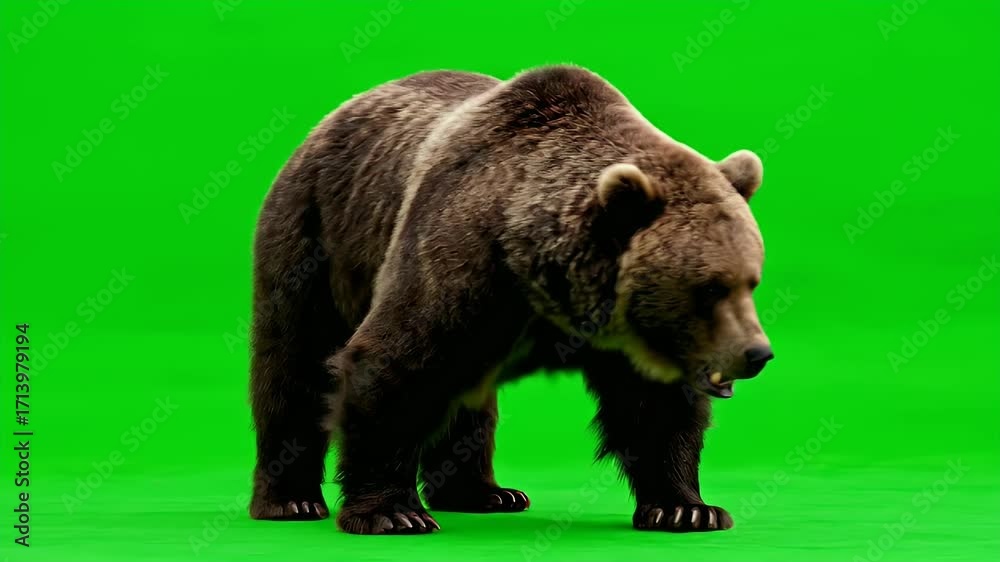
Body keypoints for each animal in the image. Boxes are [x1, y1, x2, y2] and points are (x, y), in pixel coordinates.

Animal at [248, 65, 774, 535]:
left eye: (751, 280)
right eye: (710, 286)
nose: (756, 353)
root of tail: (330, 119)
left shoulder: (620, 338)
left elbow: (655, 408)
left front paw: (686, 509)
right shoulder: (463, 254)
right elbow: (393, 364)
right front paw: (392, 512)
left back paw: (484, 493)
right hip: (316, 234)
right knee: (296, 362)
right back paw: (290, 500)